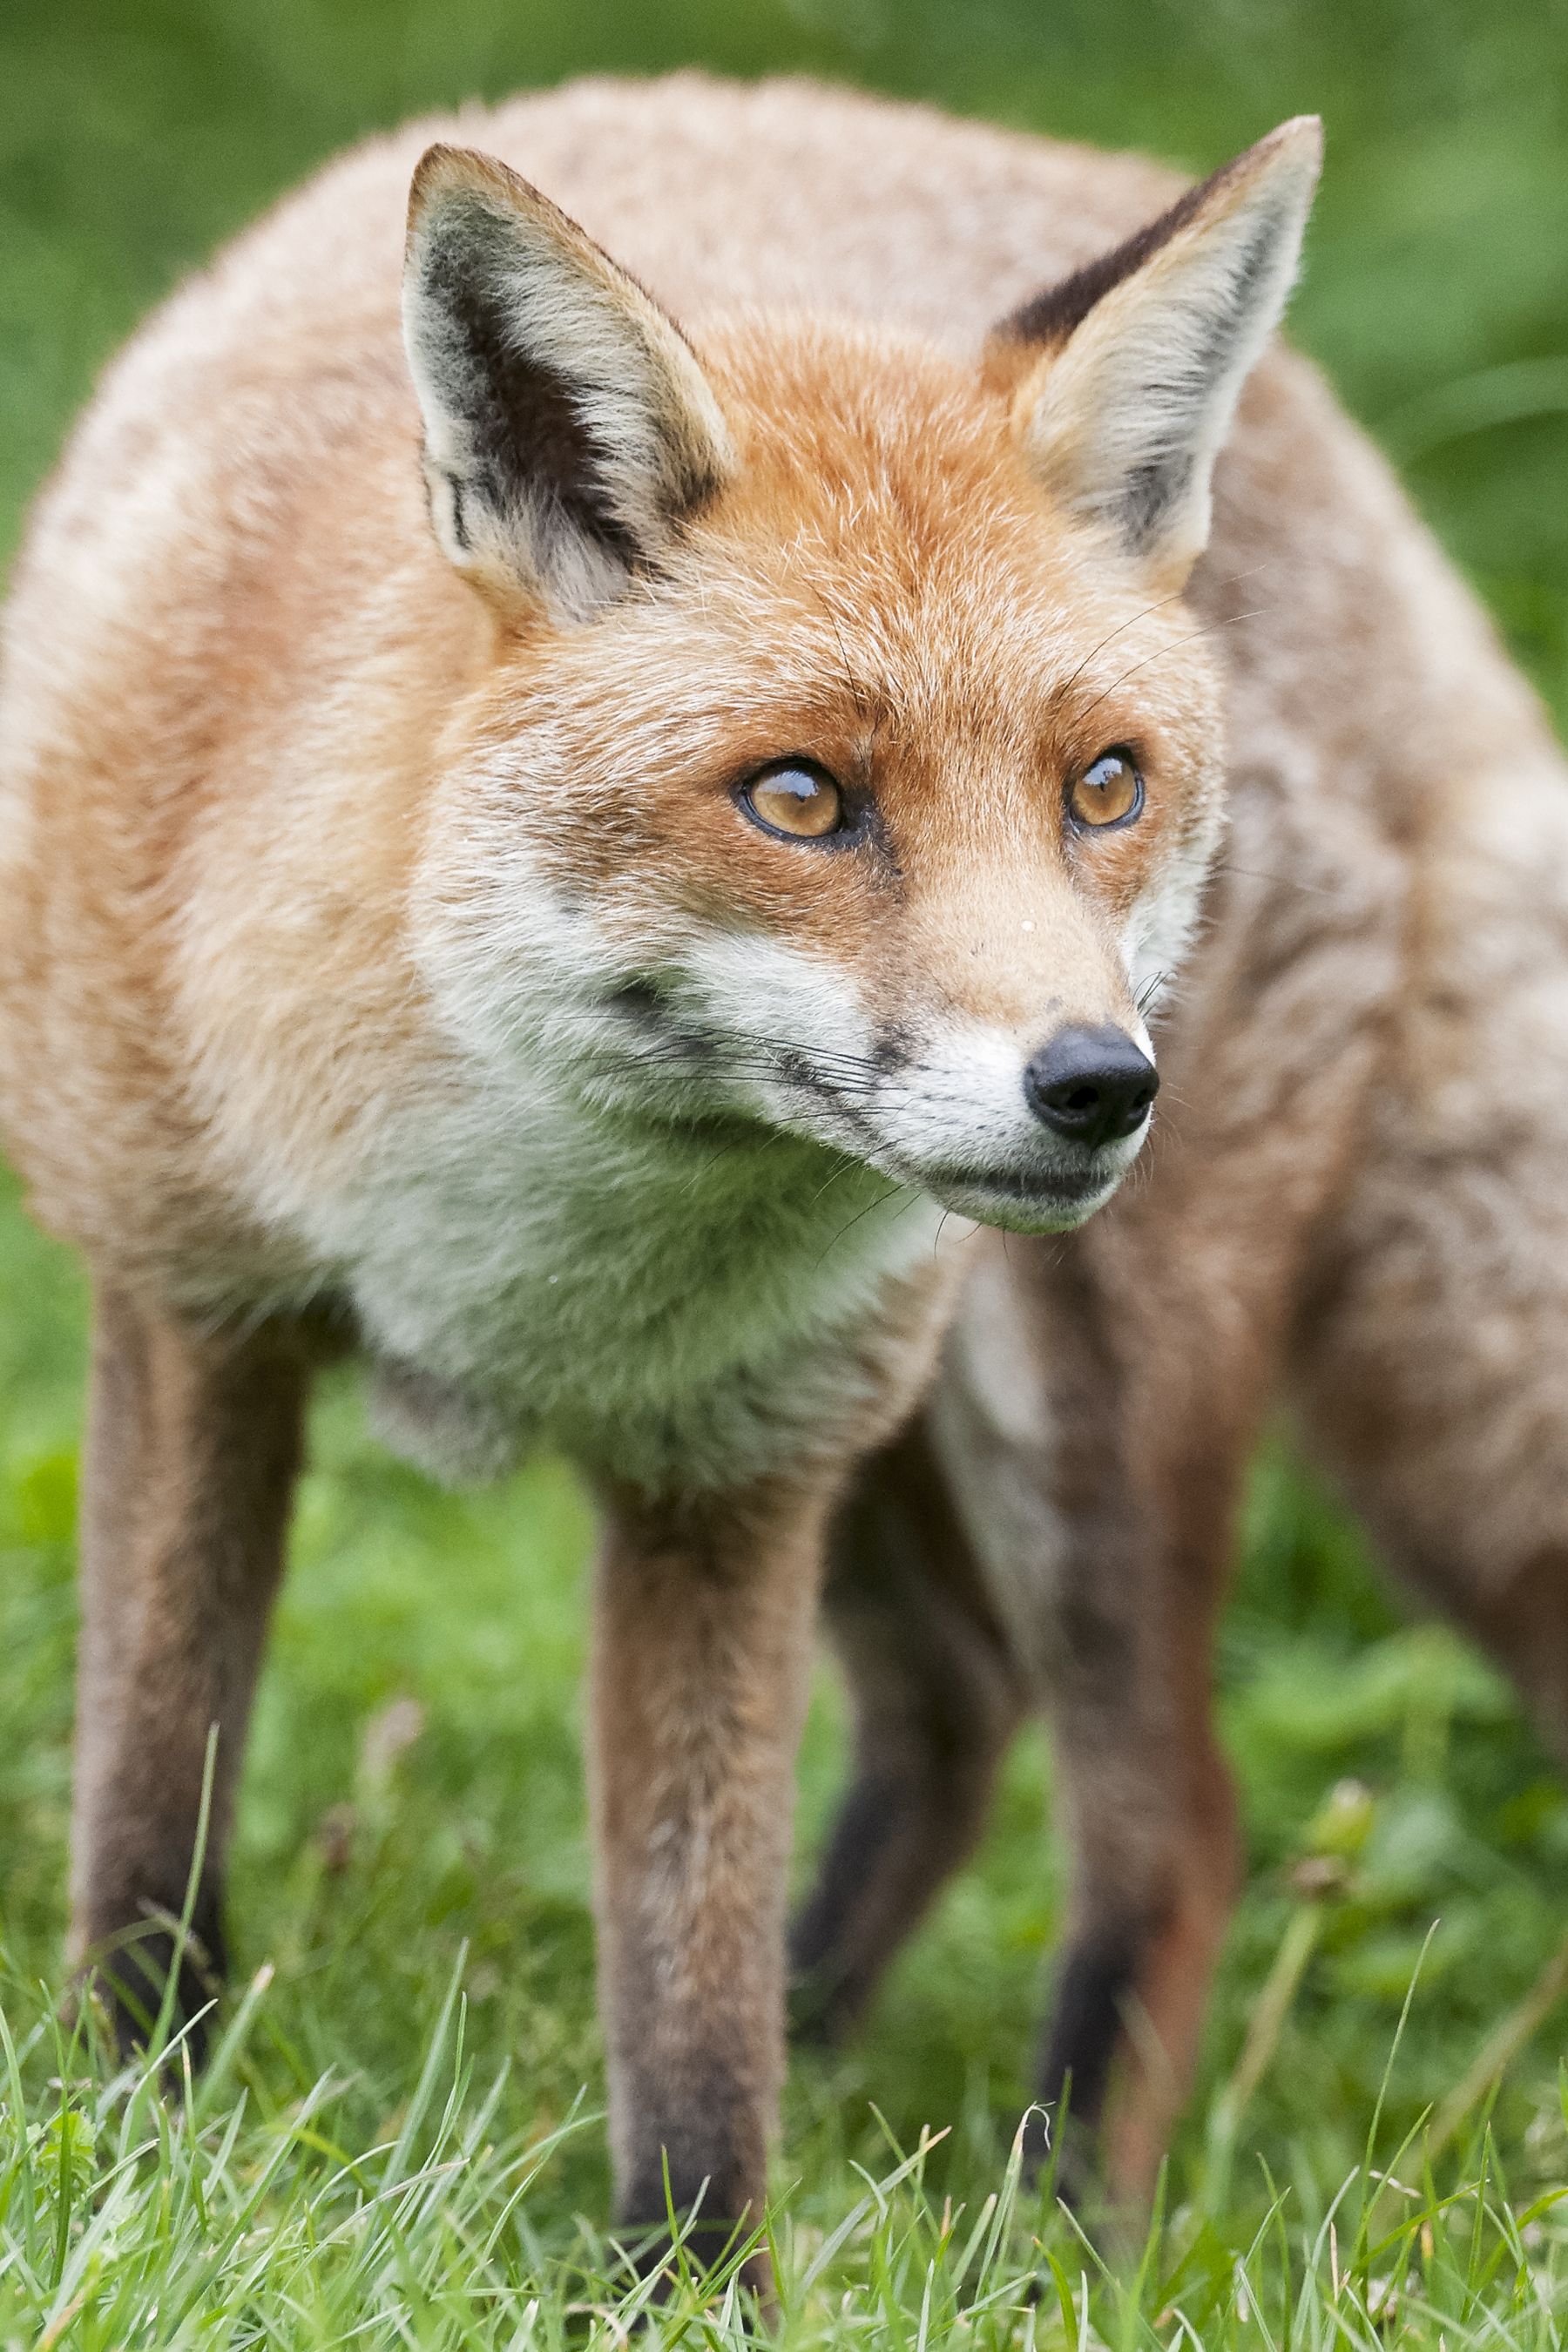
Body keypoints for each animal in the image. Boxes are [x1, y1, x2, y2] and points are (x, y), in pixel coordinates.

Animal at [0, 65, 1552, 2281]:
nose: (1101, 1085)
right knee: (961, 1712)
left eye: (1101, 785)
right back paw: (844, 2061)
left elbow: (686, 1970)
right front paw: (138, 2114)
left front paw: (692, 2273)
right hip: (916, 1428)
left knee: (1173, 1818)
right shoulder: (194, 1306)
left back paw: (1046, 2230)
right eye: (803, 799)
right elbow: (152, 1801)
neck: (541, 1254)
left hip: (1062, 1396)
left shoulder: (732, 1461)